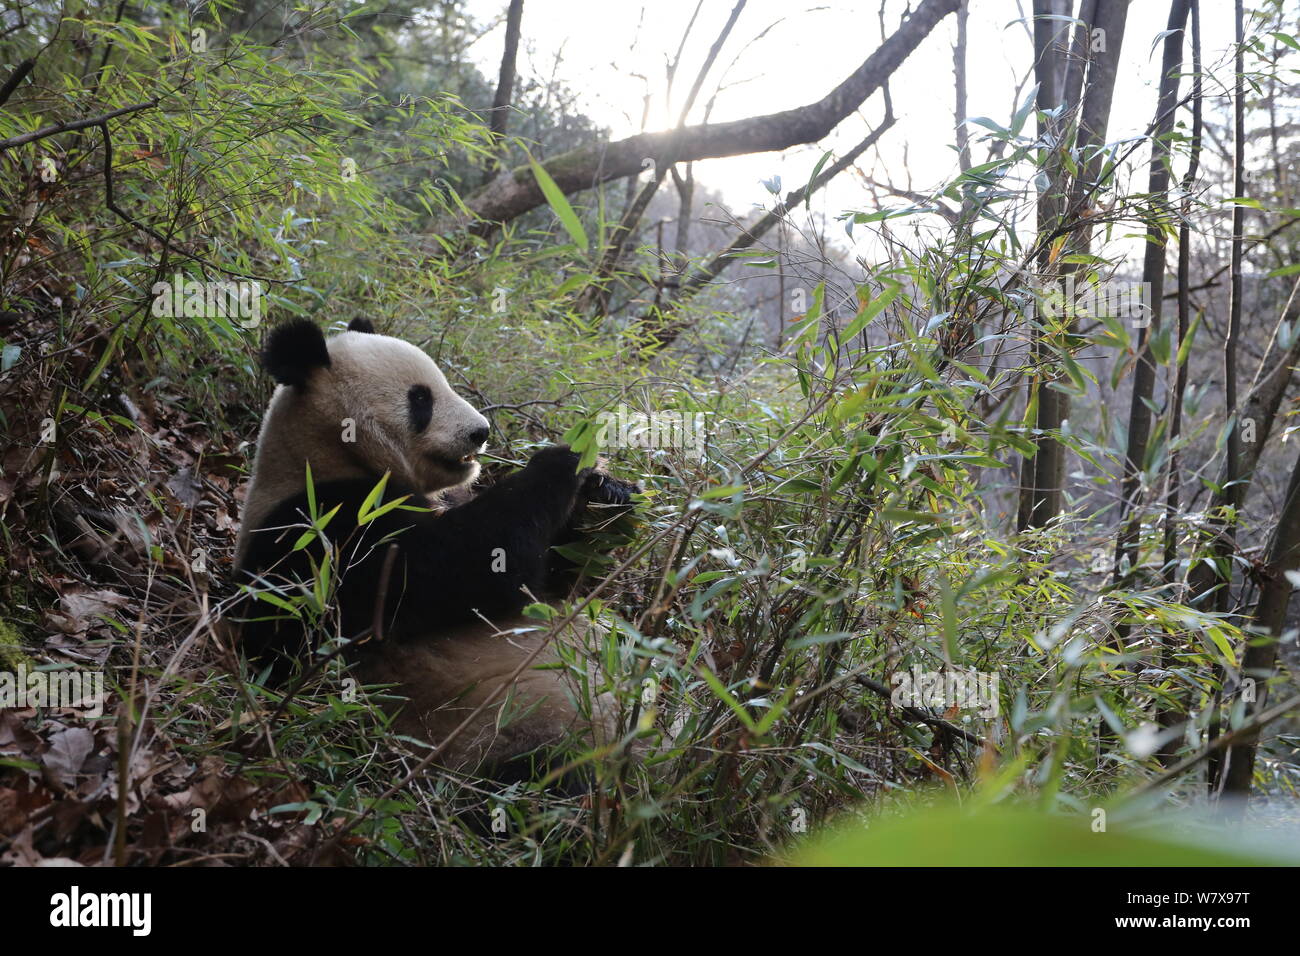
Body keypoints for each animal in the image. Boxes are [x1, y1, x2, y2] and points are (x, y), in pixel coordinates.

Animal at [232, 317, 638, 780]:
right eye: (420, 398)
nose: (480, 432)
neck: (328, 453)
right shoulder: (320, 528)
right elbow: (463, 569)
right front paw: (568, 458)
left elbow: (552, 585)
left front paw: (606, 492)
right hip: (500, 732)